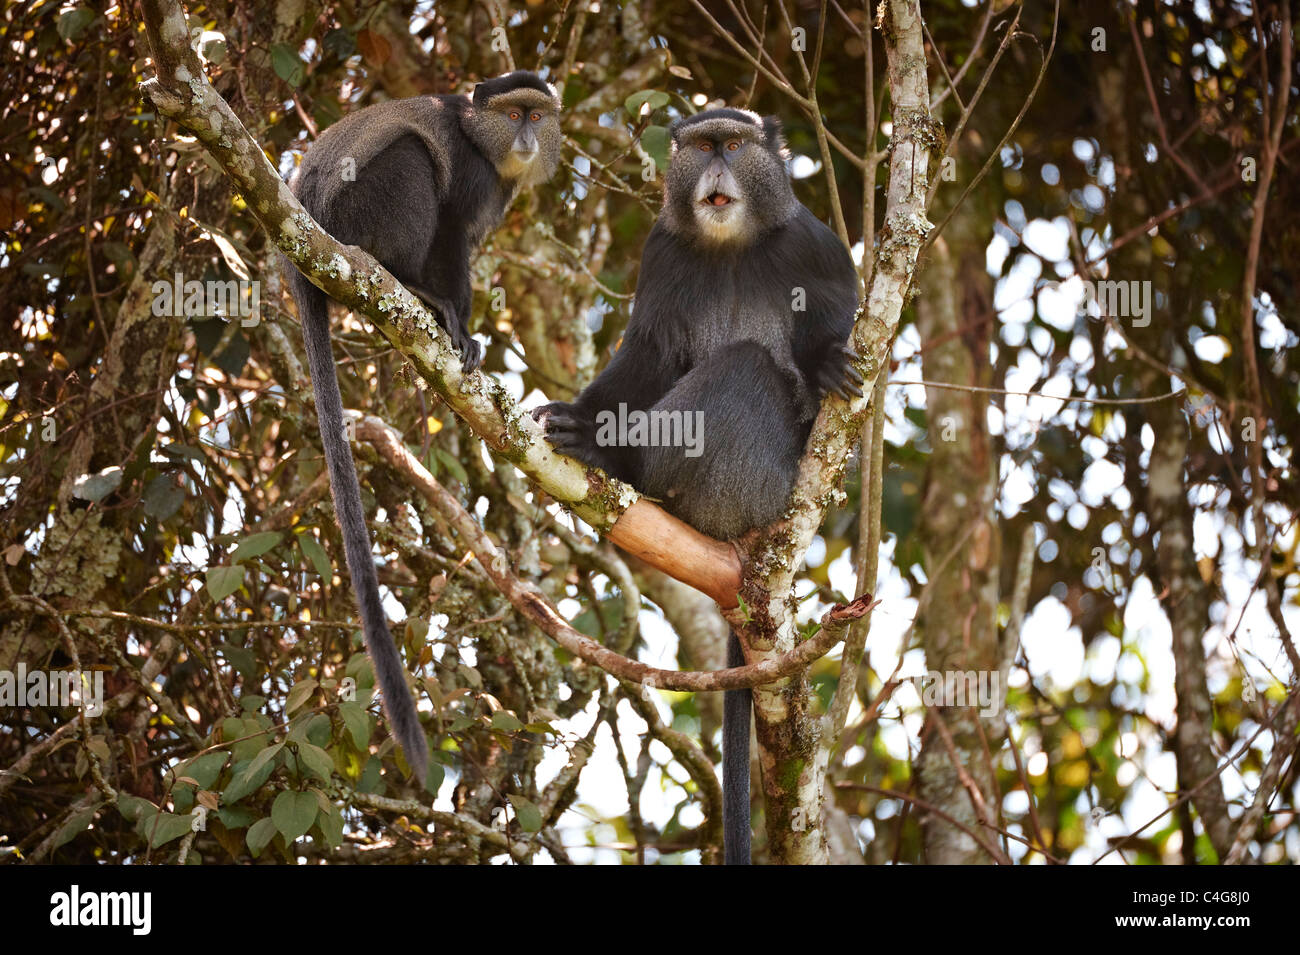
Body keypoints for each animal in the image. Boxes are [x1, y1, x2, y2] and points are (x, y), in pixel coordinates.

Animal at [284, 71, 562, 784]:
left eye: (537, 116)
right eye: (513, 115)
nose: (526, 138)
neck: (480, 134)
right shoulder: (470, 176)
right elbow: (452, 233)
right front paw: (455, 318)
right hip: (360, 211)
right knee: (409, 163)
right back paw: (412, 289)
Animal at [535, 108, 862, 863]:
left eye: (734, 146)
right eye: (702, 145)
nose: (715, 166)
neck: (730, 245)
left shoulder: (819, 249)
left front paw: (826, 363)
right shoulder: (662, 253)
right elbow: (650, 350)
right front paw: (585, 415)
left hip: (753, 481)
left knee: (747, 368)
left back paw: (621, 458)